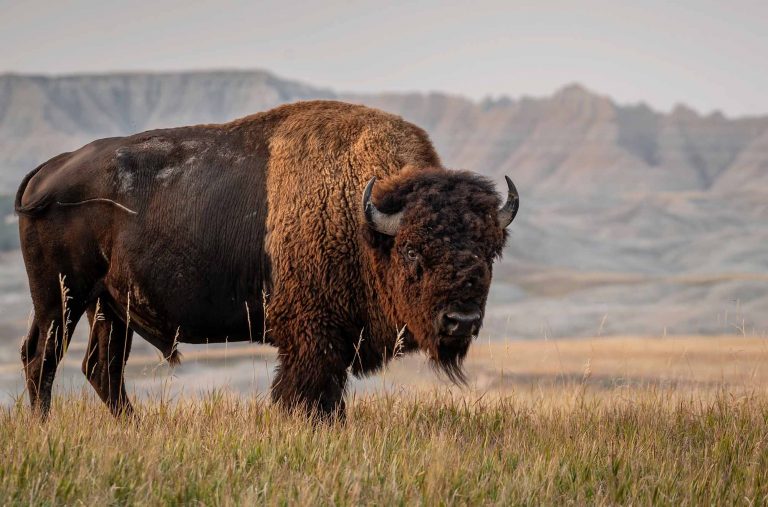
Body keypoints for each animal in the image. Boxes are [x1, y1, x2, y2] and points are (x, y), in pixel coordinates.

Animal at [15, 101, 518, 419]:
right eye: (412, 250)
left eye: (489, 251)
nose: (461, 320)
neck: (363, 218)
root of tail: (48, 170)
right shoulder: (313, 340)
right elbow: (310, 396)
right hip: (61, 298)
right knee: (43, 357)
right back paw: (44, 428)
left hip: (109, 307)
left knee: (102, 368)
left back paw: (134, 429)